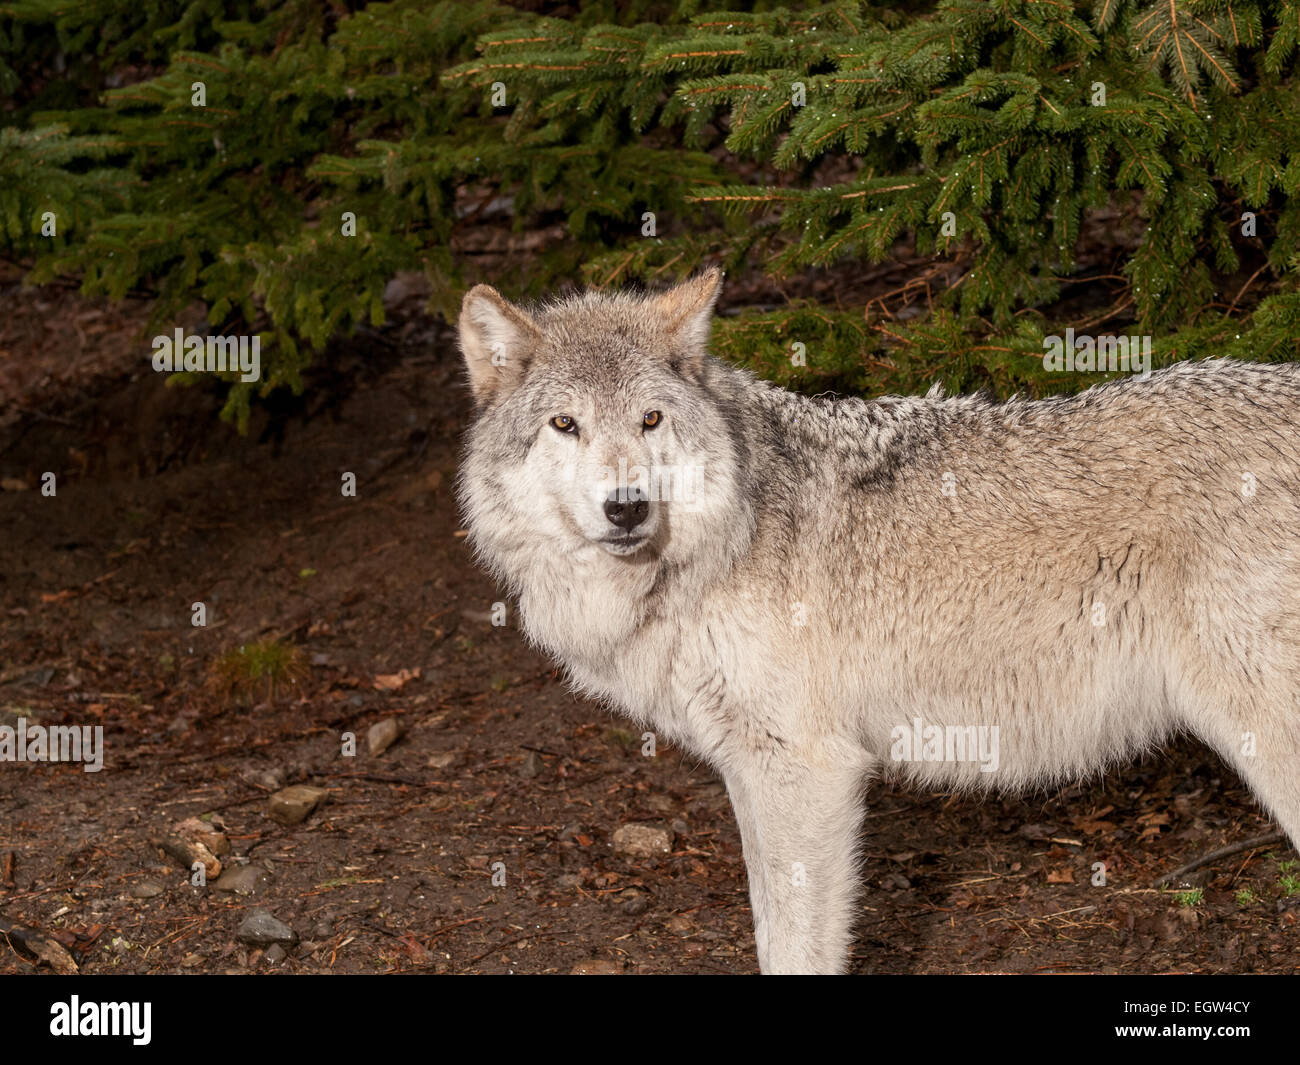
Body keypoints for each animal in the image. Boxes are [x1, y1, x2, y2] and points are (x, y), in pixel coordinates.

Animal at [456, 269, 1300, 974]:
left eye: (651, 419)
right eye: (565, 424)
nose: (626, 507)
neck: (715, 543)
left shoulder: (808, 770)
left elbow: (796, 951)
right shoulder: (752, 771)